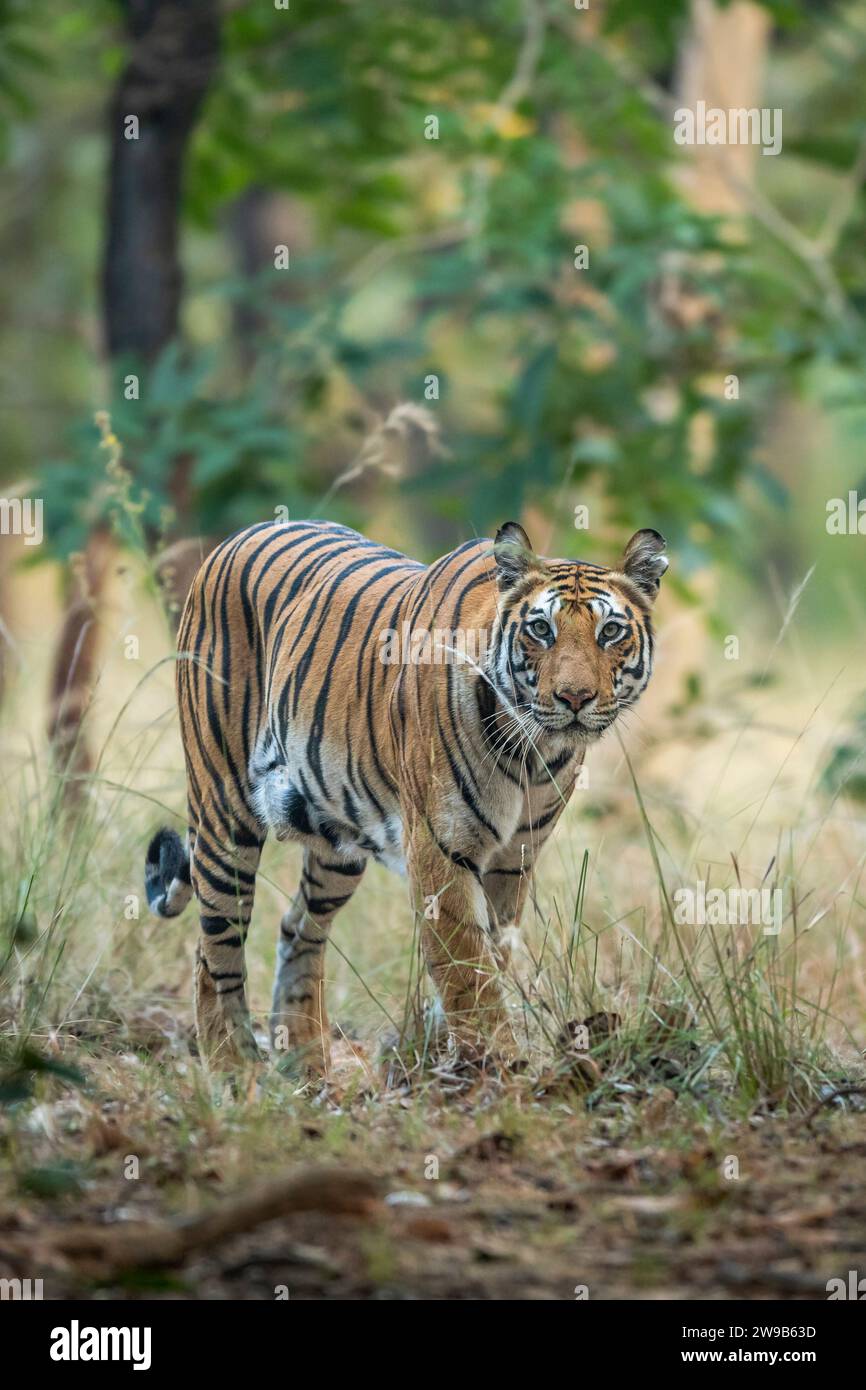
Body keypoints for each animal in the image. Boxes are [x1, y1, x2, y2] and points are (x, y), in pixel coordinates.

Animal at [145, 518, 668, 1075]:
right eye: (541, 629)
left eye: (610, 631)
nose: (574, 698)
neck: (532, 752)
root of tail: (238, 535)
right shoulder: (442, 848)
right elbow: (468, 972)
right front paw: (499, 1067)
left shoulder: (514, 859)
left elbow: (487, 958)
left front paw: (446, 1059)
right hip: (224, 815)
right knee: (214, 950)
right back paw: (233, 1069)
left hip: (335, 844)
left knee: (299, 930)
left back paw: (308, 1068)